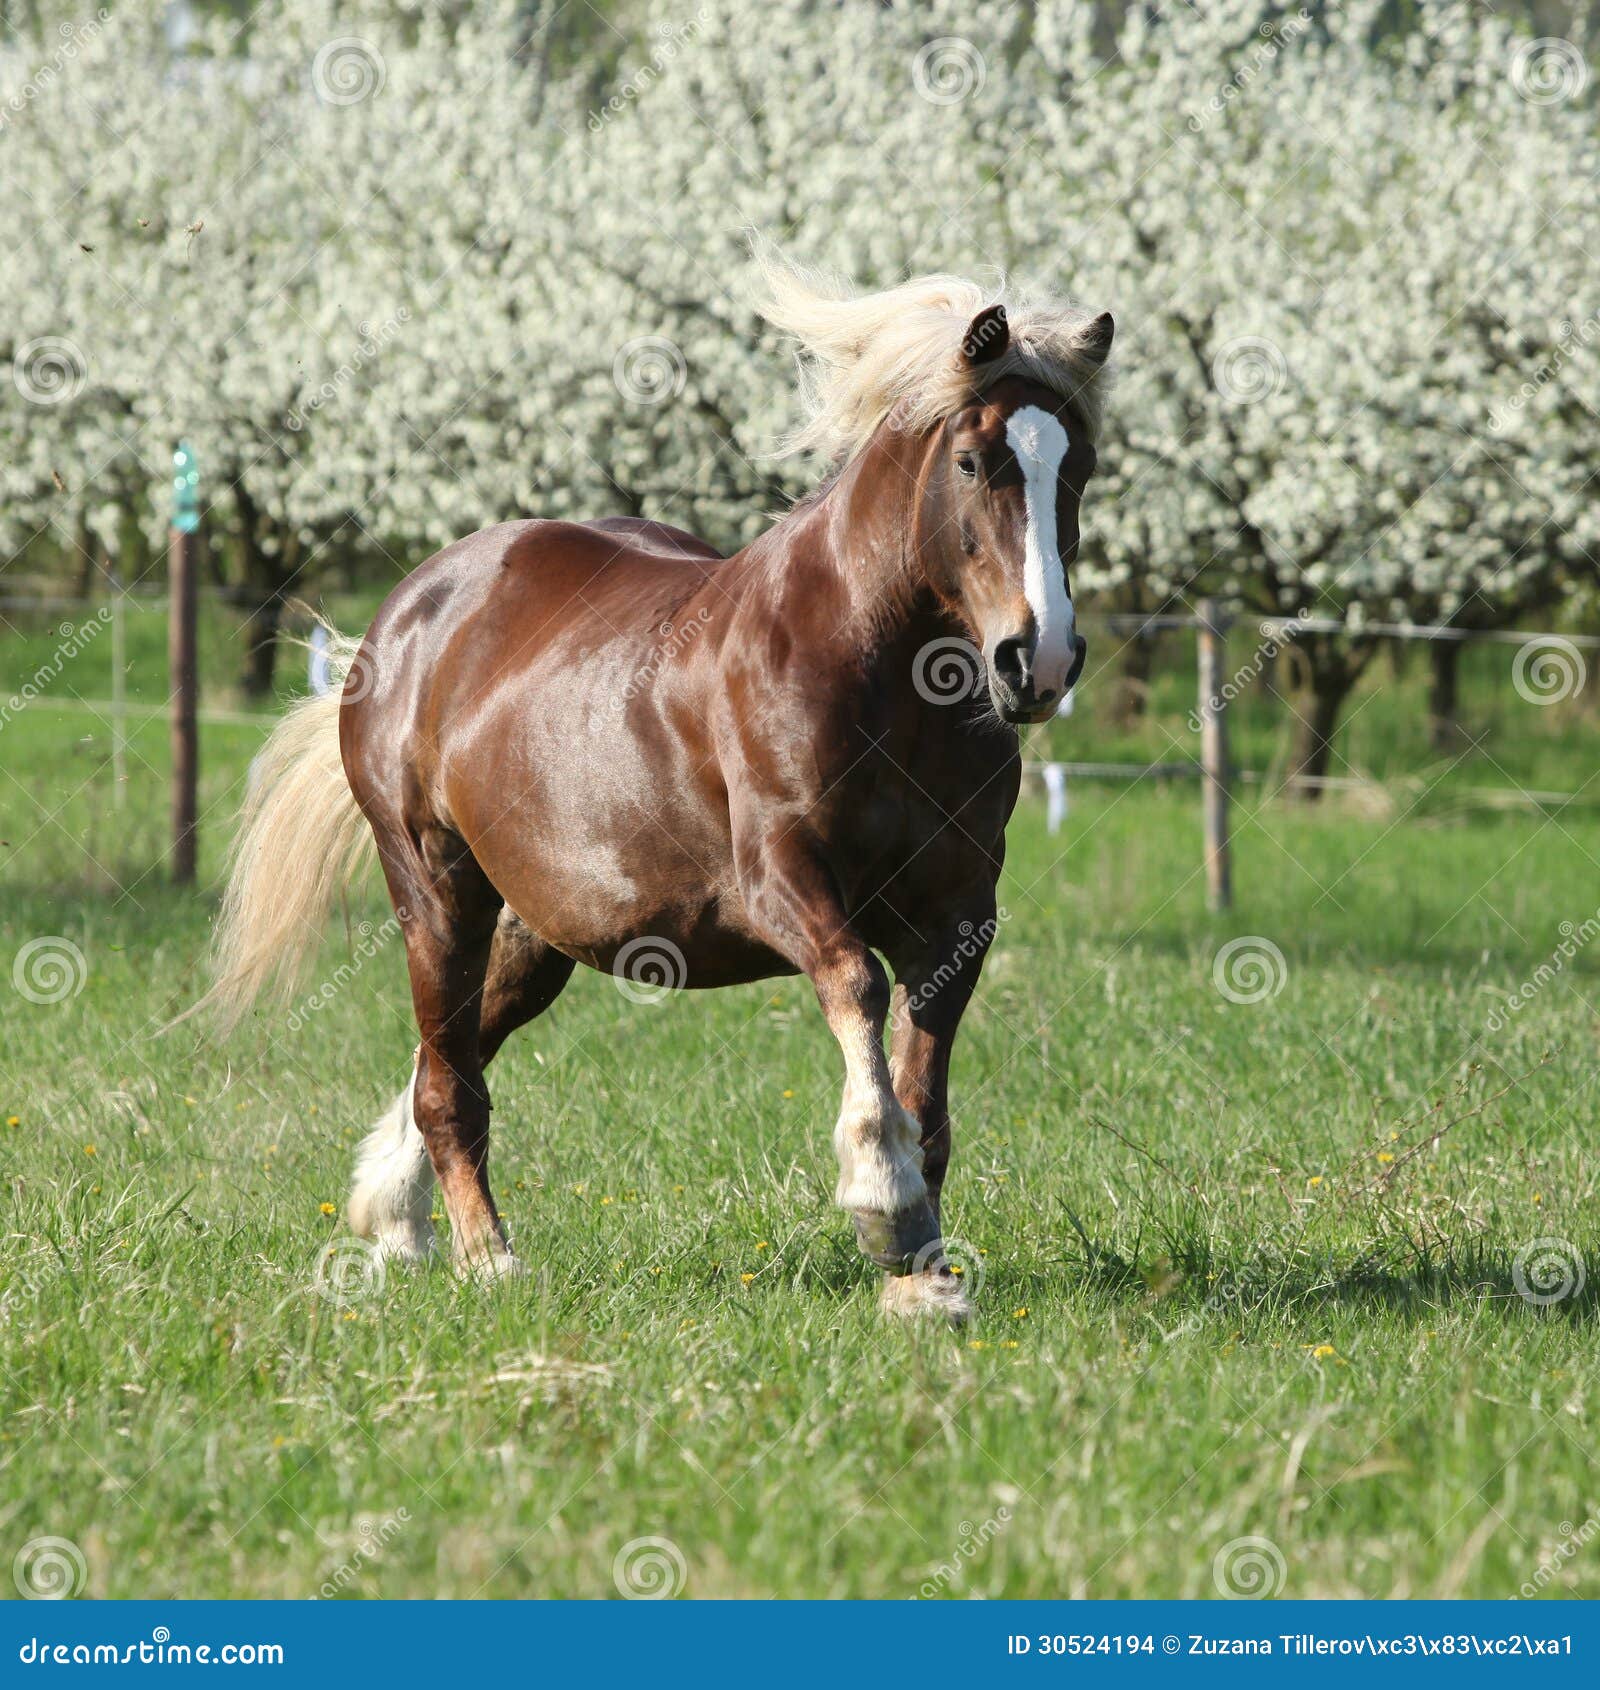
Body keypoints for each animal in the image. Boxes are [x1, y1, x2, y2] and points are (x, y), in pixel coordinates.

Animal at [204, 258, 1113, 1320]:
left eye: (1080, 466)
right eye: (972, 462)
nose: (1036, 661)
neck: (882, 673)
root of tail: (402, 614)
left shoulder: (960, 912)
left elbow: (926, 1098)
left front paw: (923, 1273)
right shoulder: (782, 880)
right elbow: (857, 984)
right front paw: (883, 1206)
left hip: (535, 935)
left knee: (451, 1050)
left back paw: (396, 1218)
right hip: (435, 890)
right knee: (448, 1084)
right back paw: (487, 1256)